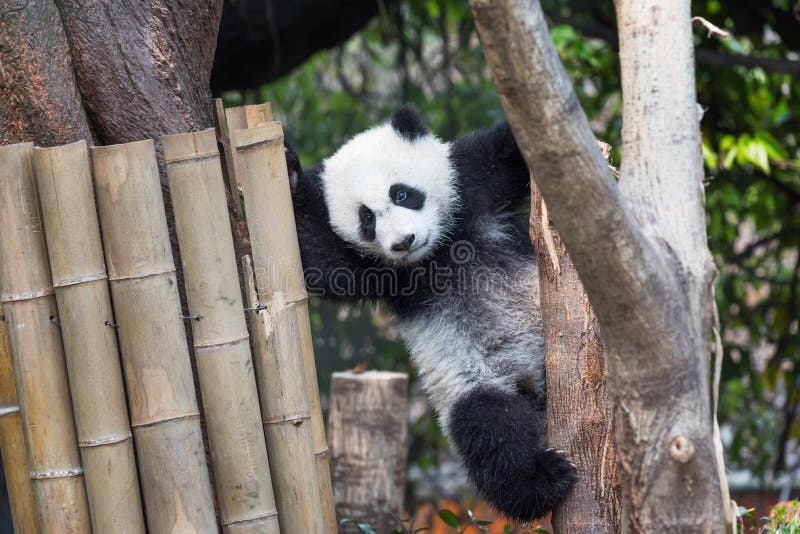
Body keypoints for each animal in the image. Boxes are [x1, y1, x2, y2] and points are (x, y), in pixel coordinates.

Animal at [286, 105, 576, 521]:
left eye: (402, 193)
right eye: (367, 219)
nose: (403, 241)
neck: (436, 251)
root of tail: (538, 394)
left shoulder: (475, 184)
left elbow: (510, 153)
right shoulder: (381, 273)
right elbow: (321, 256)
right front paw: (290, 175)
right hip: (474, 379)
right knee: (489, 428)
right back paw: (543, 480)